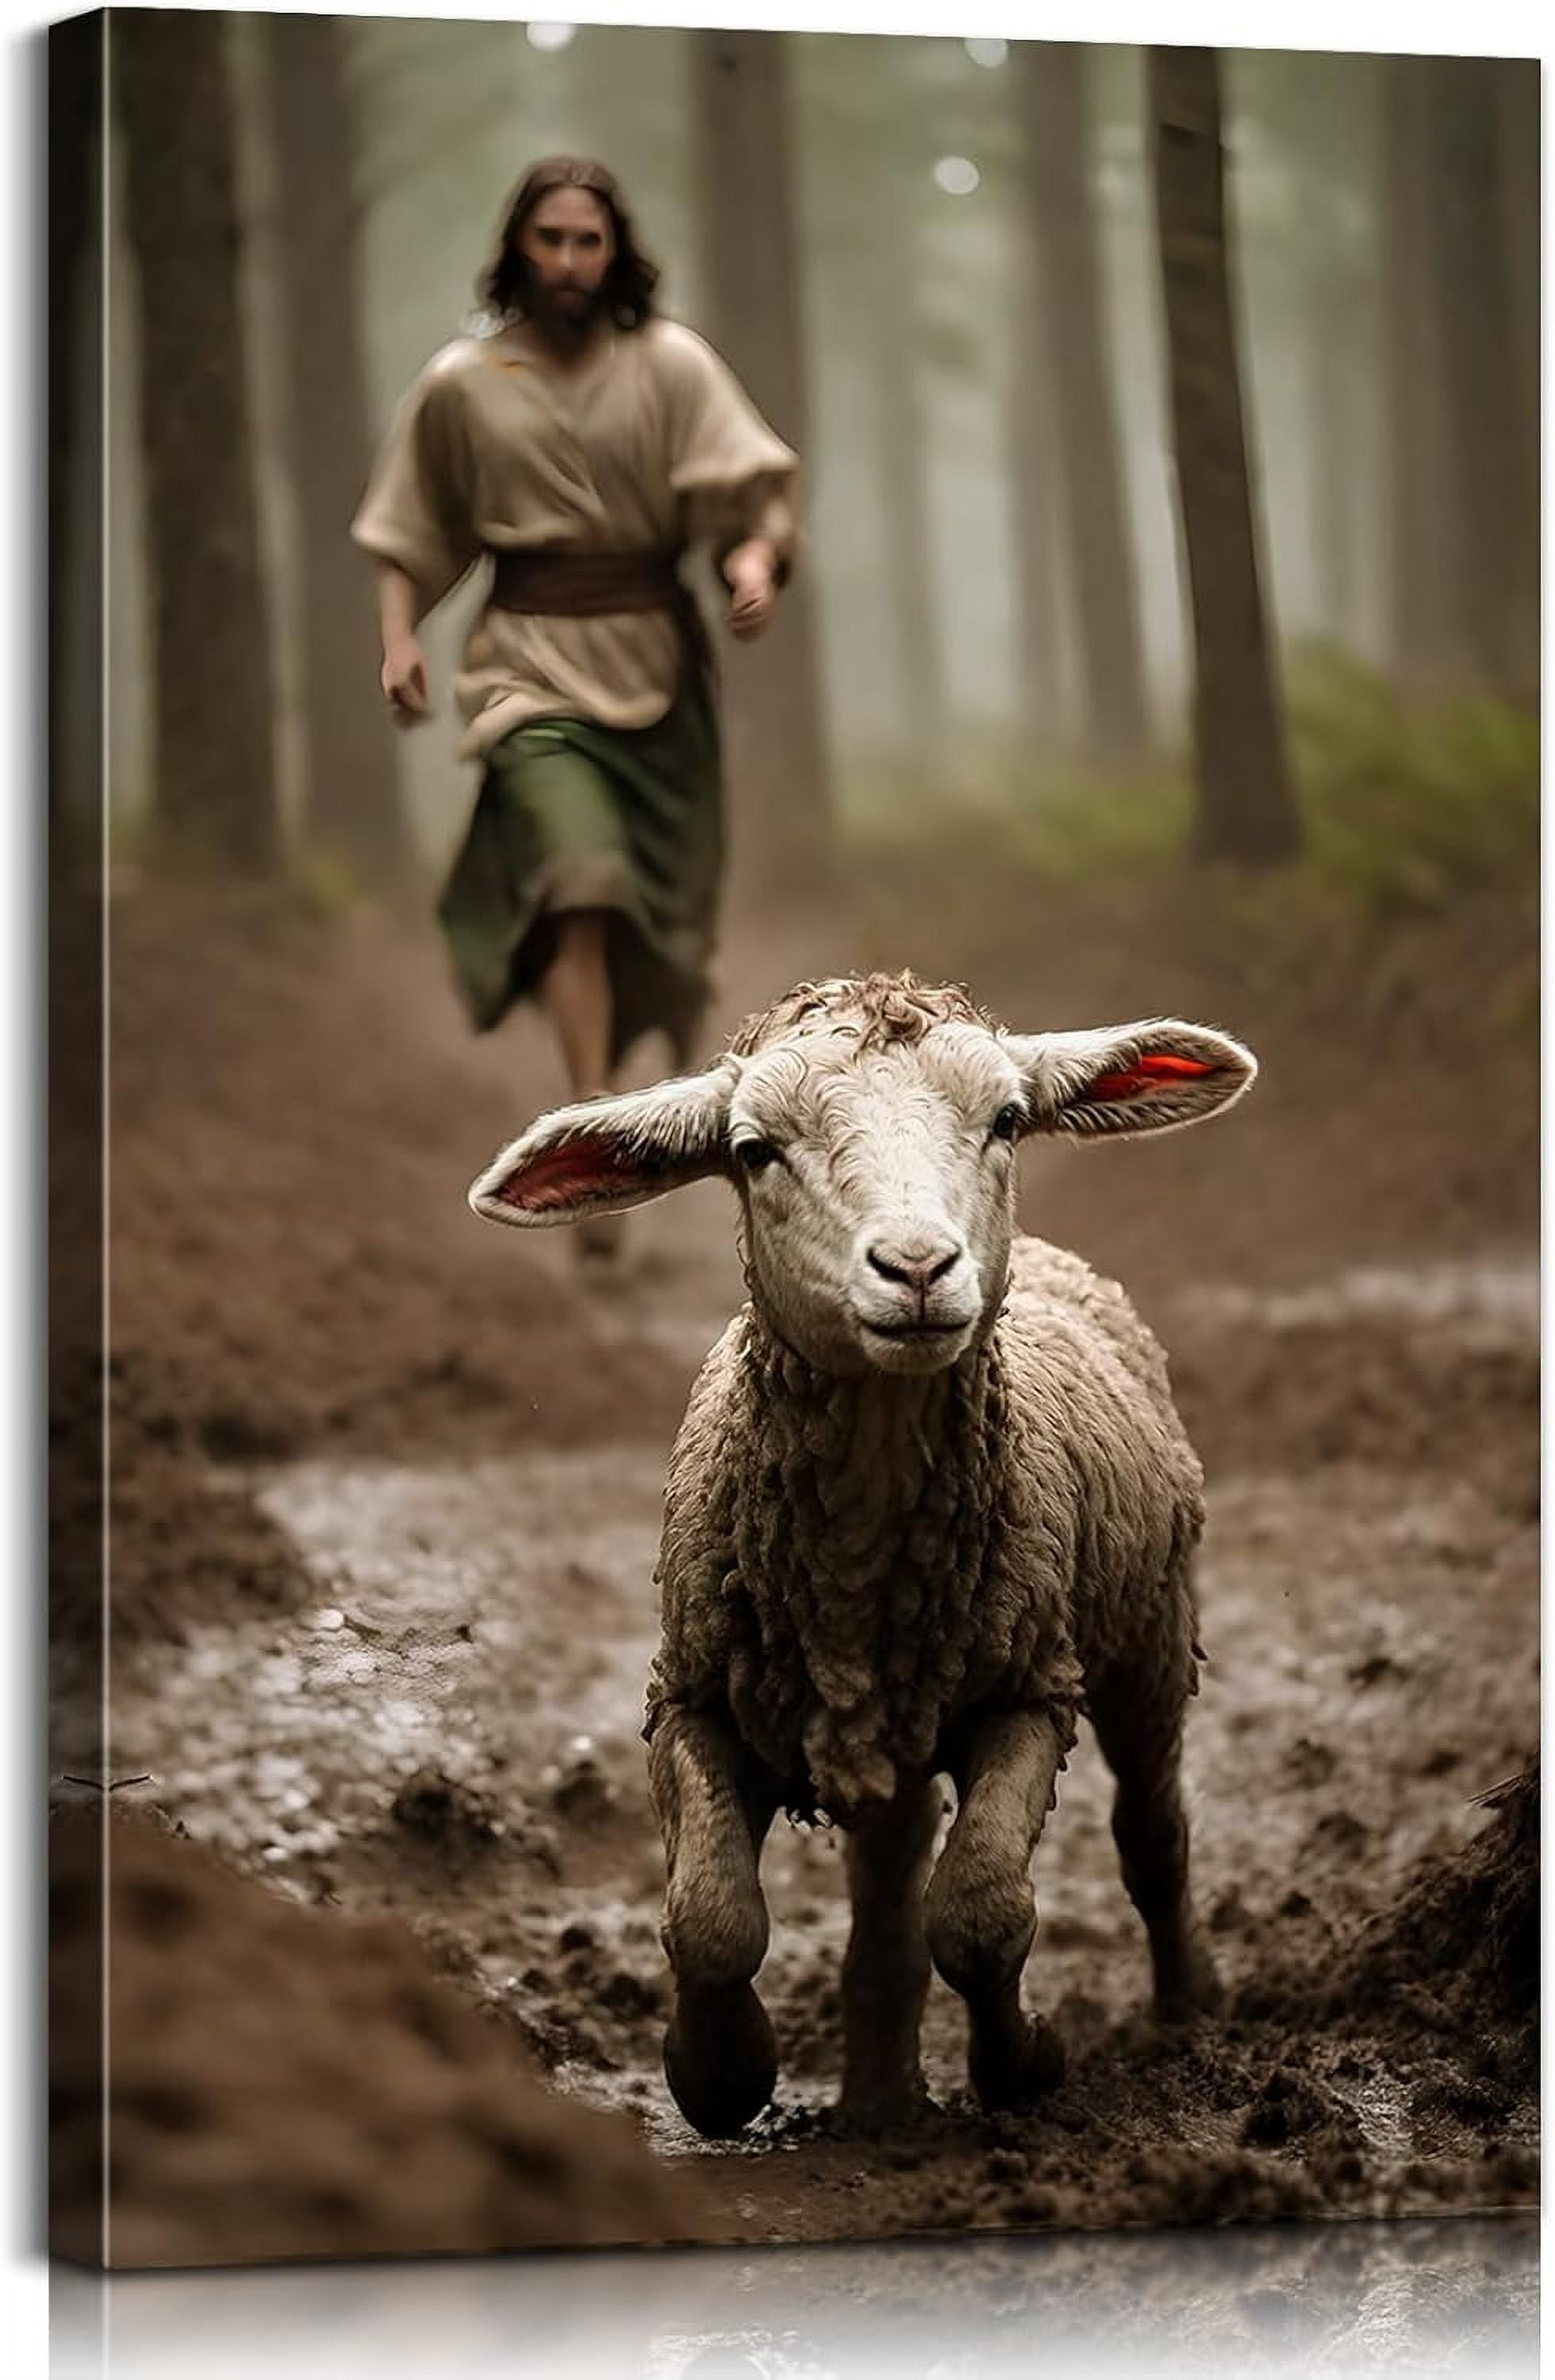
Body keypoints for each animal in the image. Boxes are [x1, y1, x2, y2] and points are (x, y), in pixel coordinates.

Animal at [470, 972, 1257, 2138]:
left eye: (1006, 1121)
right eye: (754, 1150)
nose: (920, 1268)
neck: (859, 1569)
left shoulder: (1034, 1689)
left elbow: (979, 1910)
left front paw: (1025, 2065)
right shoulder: (690, 1695)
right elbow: (709, 1916)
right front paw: (717, 2076)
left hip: (1151, 1637)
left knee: (1150, 1831)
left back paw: (1187, 2007)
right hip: (899, 1729)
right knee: (886, 1882)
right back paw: (878, 2095)